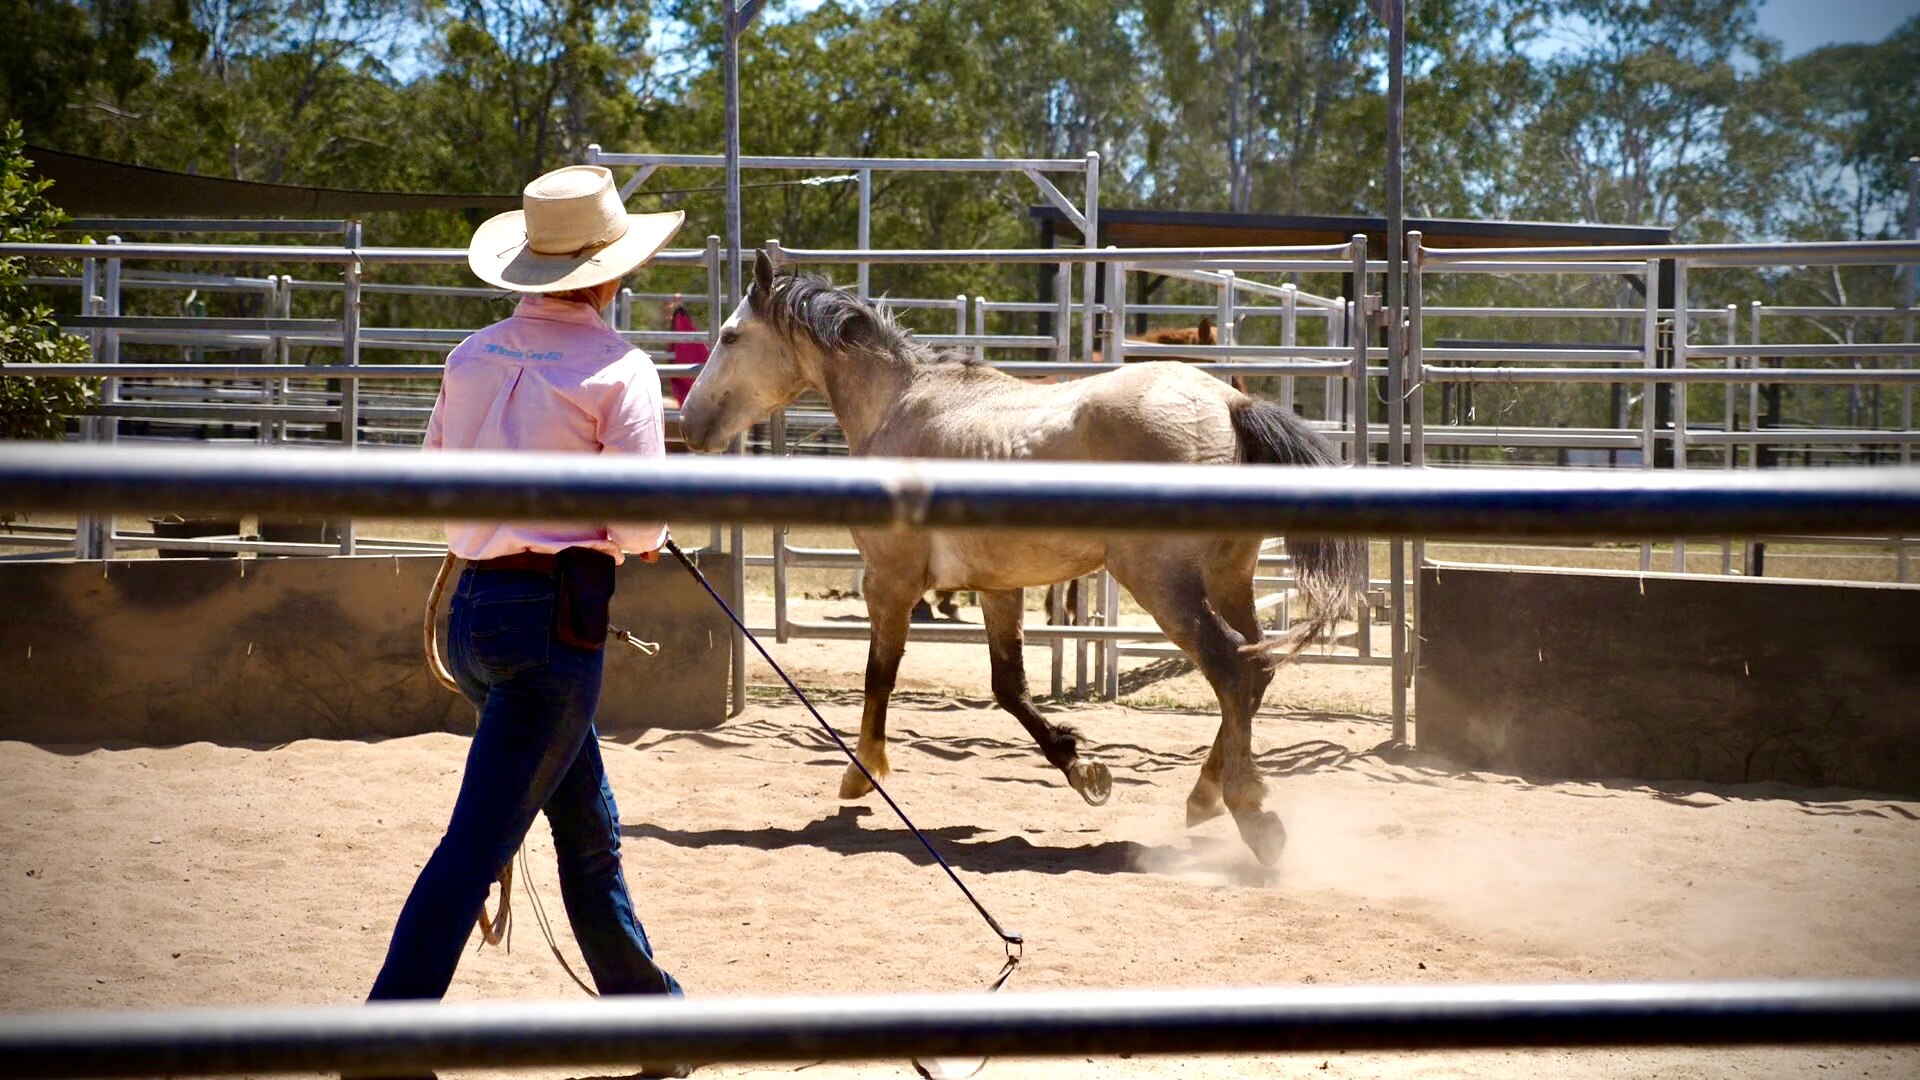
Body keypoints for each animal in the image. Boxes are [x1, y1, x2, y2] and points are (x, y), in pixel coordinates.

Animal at [679, 249, 1362, 865]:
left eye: (730, 335)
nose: (689, 424)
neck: (900, 405)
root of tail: (1228, 402)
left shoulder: (890, 582)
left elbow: (880, 675)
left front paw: (861, 772)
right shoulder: (998, 586)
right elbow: (1008, 687)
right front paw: (1083, 768)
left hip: (1162, 583)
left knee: (1231, 668)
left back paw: (1253, 817)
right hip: (1228, 576)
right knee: (1257, 666)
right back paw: (1203, 798)